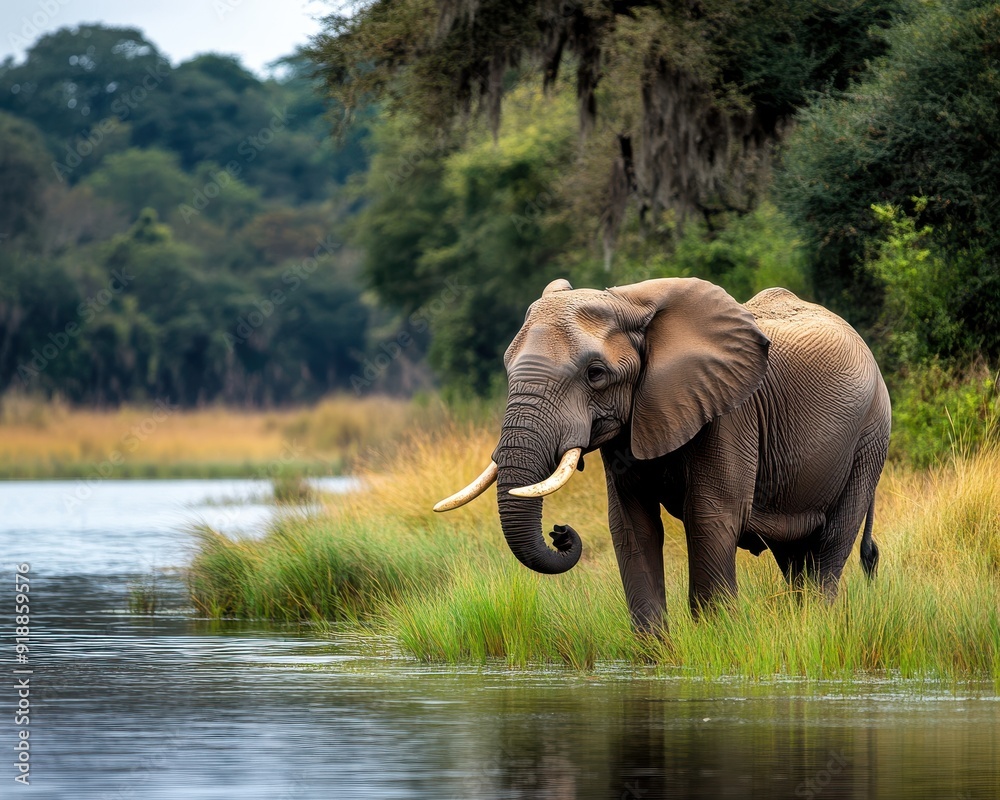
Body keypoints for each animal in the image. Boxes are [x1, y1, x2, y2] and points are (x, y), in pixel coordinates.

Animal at [434, 277, 891, 634]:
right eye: (507, 367)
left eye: (595, 374)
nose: (560, 532)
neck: (629, 302)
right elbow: (631, 525)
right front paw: (654, 655)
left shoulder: (728, 413)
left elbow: (710, 517)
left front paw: (718, 645)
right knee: (795, 556)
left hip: (870, 436)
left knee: (830, 545)